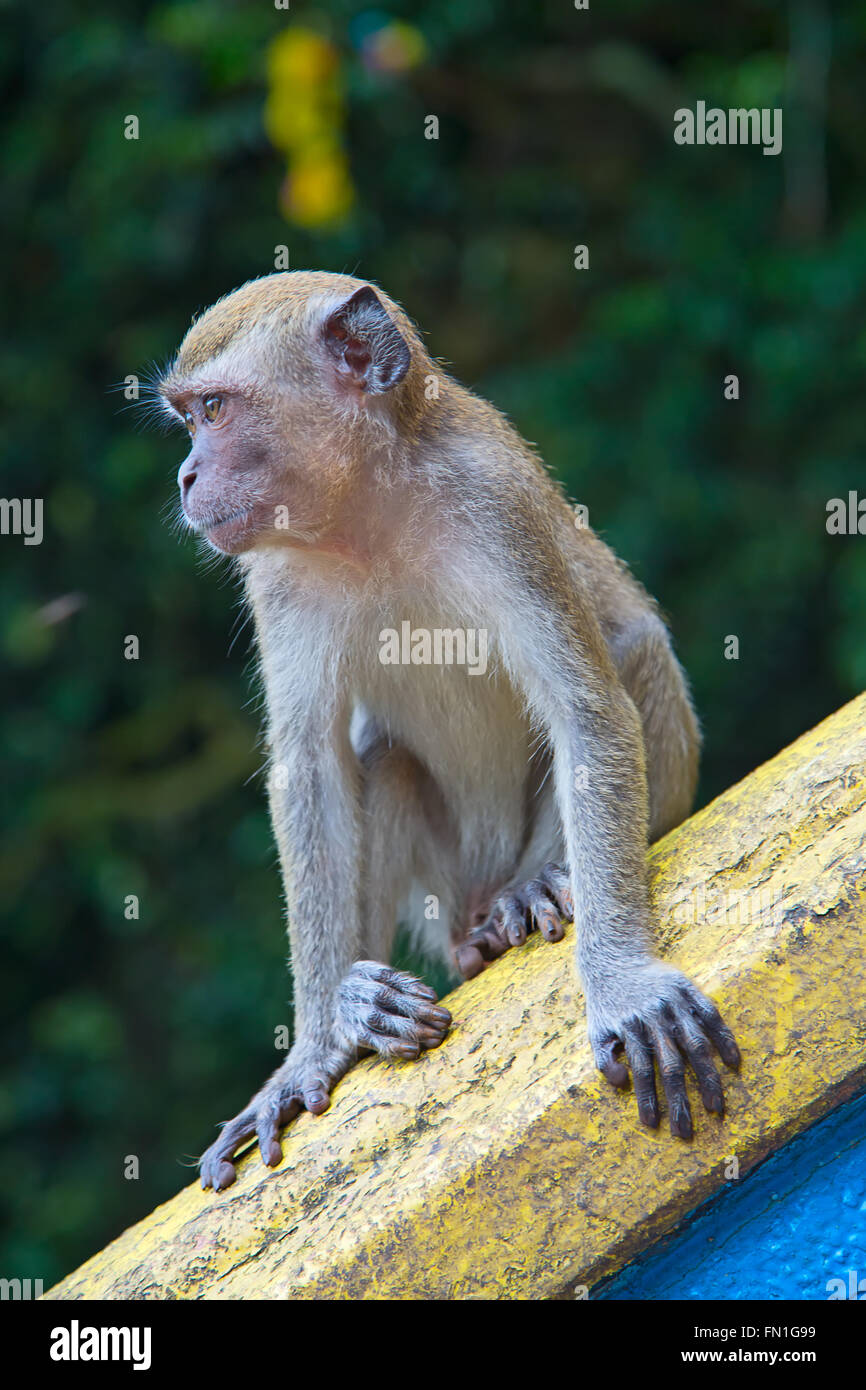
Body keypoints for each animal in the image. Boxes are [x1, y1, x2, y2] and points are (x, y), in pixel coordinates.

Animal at [157, 271, 740, 1191]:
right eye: (189, 418)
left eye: (213, 409)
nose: (185, 475)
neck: (371, 508)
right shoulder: (275, 571)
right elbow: (311, 770)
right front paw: (314, 1047)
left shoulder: (496, 502)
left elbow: (585, 706)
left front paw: (621, 981)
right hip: (440, 889)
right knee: (380, 760)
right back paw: (376, 998)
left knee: (636, 653)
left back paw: (532, 889)